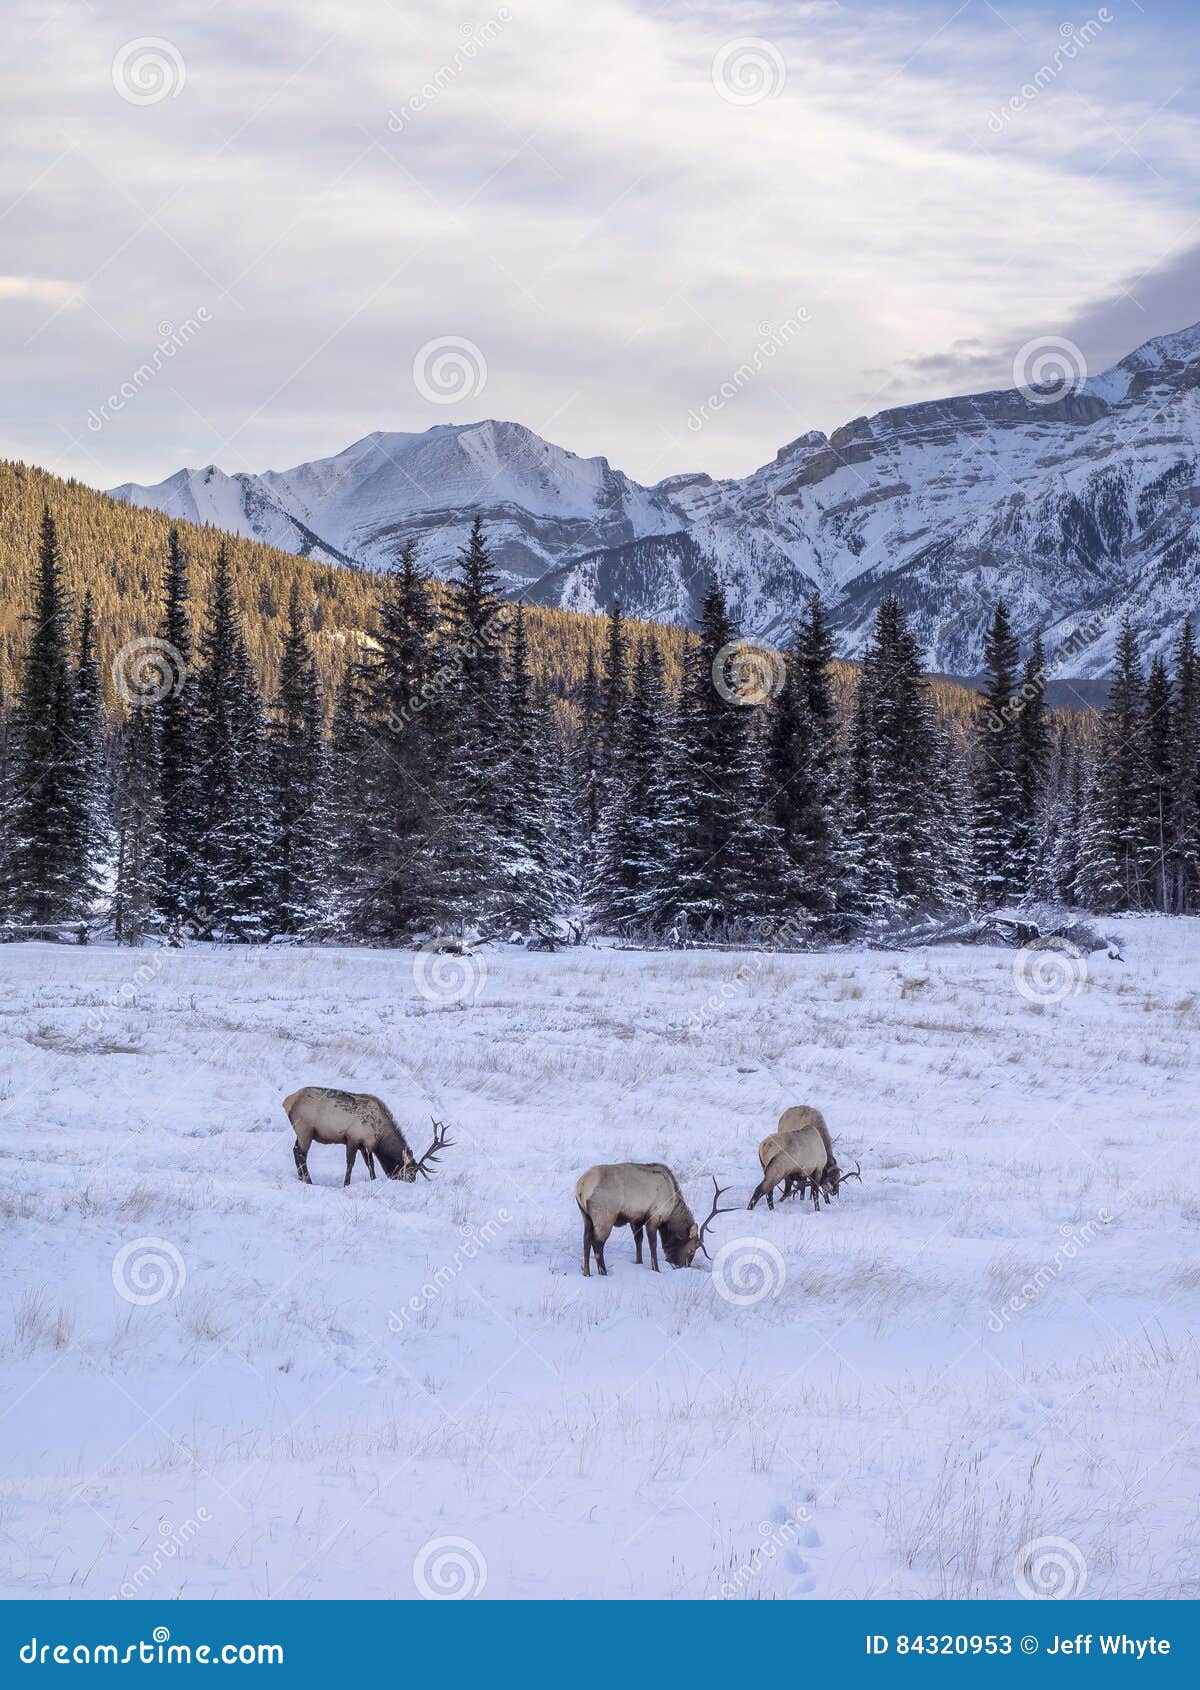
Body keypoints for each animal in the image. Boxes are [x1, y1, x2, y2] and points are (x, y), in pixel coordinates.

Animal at [283, 1086, 453, 1187]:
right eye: (410, 1173)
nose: (409, 1183)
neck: (379, 1135)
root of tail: (288, 1101)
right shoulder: (352, 1138)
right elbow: (350, 1163)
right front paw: (346, 1184)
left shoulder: (365, 1144)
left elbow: (370, 1164)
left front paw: (373, 1180)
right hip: (305, 1129)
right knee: (301, 1153)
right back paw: (308, 1180)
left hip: (302, 1132)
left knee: (295, 1150)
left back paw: (301, 1178)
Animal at [575, 1164, 737, 1276]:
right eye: (691, 1250)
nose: (683, 1266)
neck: (671, 1205)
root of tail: (581, 1186)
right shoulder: (654, 1215)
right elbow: (653, 1245)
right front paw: (656, 1269)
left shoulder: (636, 1218)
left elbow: (638, 1240)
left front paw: (639, 1262)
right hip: (605, 1216)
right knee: (597, 1244)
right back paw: (604, 1273)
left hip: (586, 1216)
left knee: (586, 1241)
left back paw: (587, 1273)